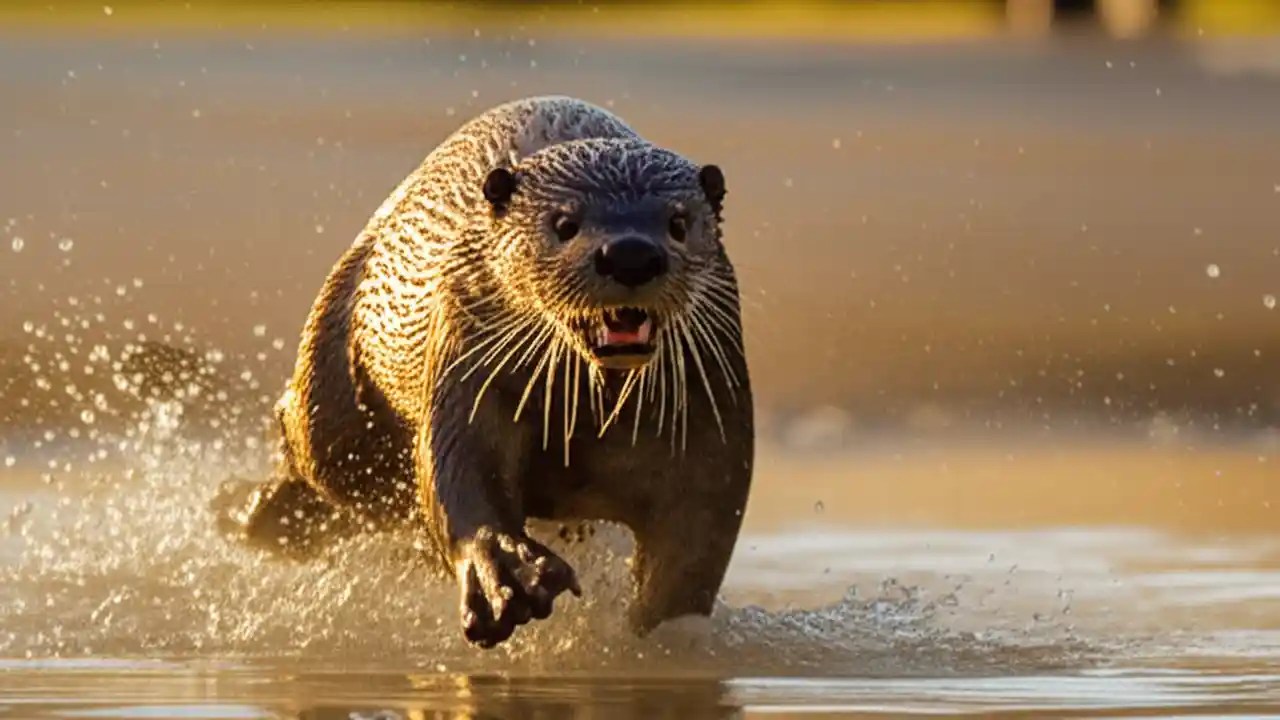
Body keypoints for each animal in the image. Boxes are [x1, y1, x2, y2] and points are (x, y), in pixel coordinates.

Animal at [217, 96, 753, 649]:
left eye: (678, 223)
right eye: (564, 224)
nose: (631, 254)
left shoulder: (707, 417)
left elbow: (696, 532)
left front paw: (665, 636)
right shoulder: (466, 365)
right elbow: (461, 477)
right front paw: (507, 572)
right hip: (332, 392)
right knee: (312, 452)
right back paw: (254, 512)